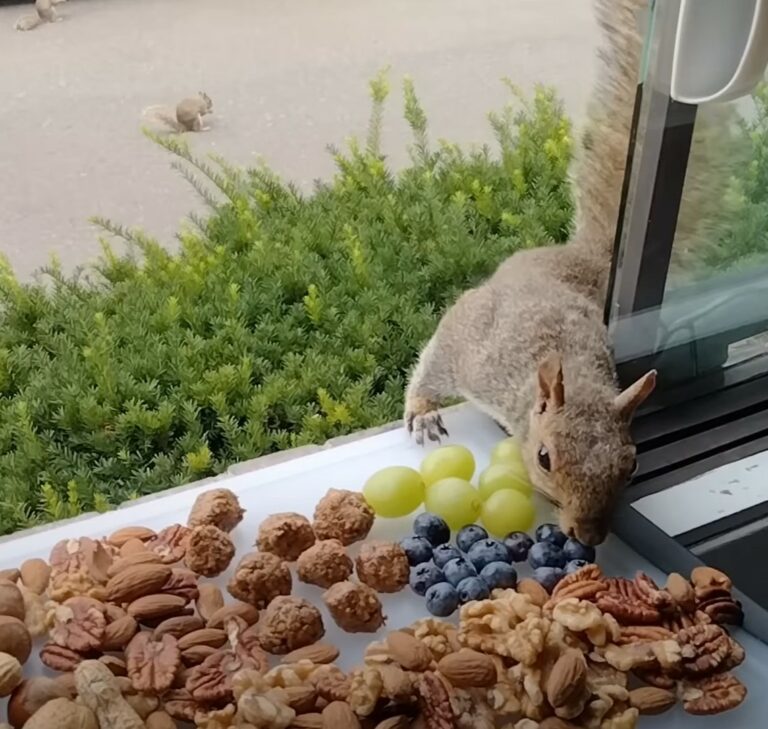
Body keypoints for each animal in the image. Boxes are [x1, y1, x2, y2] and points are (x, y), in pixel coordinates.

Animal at [404, 0, 655, 546]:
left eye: (631, 465)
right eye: (543, 459)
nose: (589, 536)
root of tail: (583, 257)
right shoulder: (474, 353)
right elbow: (434, 360)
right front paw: (423, 409)